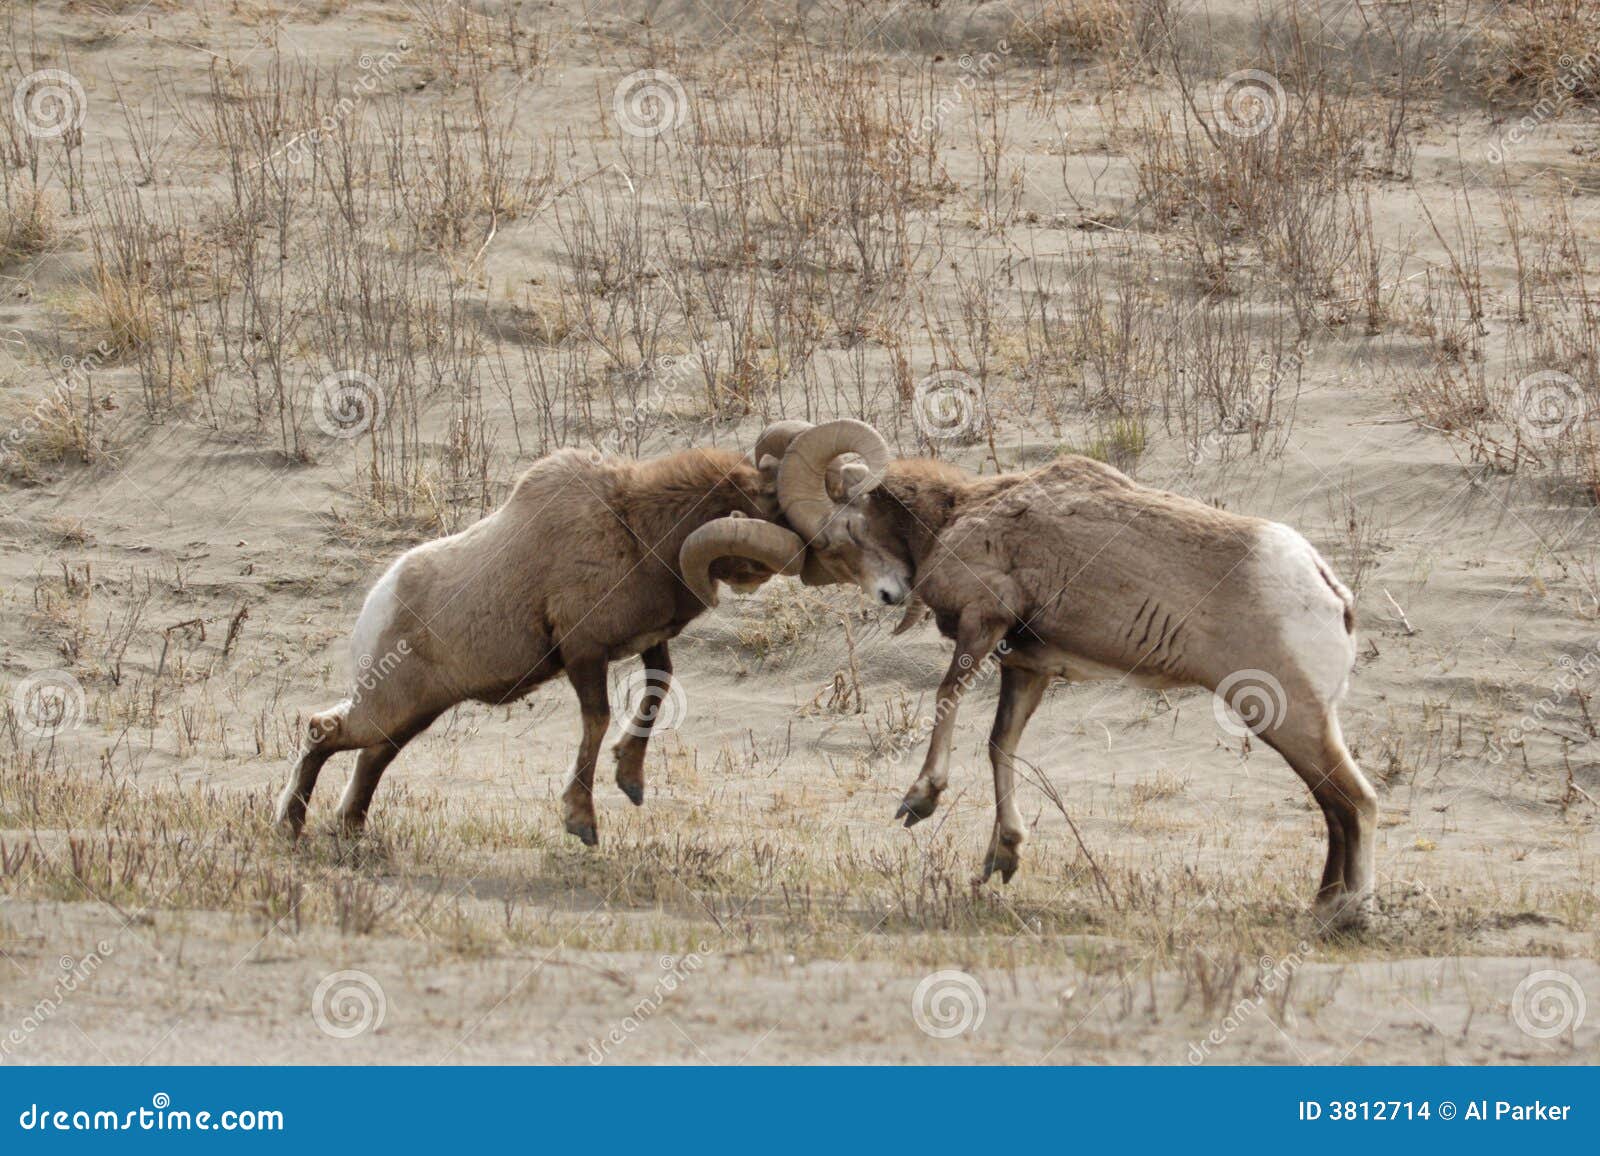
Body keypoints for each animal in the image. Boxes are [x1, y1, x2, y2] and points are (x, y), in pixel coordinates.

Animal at [274, 430, 907, 846]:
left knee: (369, 758)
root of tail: (378, 601)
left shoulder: (647, 644)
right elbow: (597, 722)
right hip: (388, 708)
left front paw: (631, 781)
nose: (893, 590)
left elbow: (656, 693)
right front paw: (582, 822)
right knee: (323, 732)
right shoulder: (583, 653)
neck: (636, 530)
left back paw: (348, 829)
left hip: (411, 716)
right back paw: (291, 825)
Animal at [769, 445, 1377, 930]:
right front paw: (1003, 858)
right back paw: (1328, 907)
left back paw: (1341, 913)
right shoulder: (1026, 668)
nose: (888, 595)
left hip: (1285, 716)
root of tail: (1331, 592)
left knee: (1354, 802)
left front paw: (920, 801)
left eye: (845, 530)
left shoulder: (982, 624)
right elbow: (1000, 746)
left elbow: (946, 701)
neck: (958, 515)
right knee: (1336, 807)